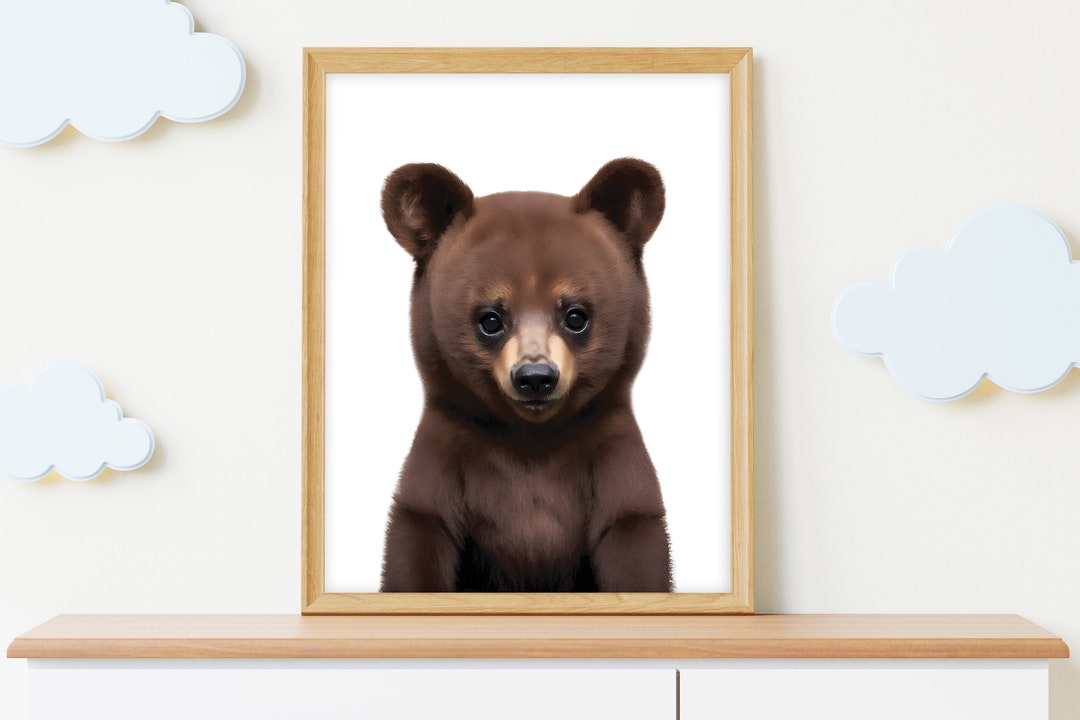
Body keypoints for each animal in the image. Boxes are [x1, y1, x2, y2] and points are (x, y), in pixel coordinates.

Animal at [378, 158, 673, 593]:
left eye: (575, 315)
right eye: (490, 319)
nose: (535, 377)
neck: (530, 438)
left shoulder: (613, 456)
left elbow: (632, 534)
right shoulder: (443, 453)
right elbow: (421, 529)